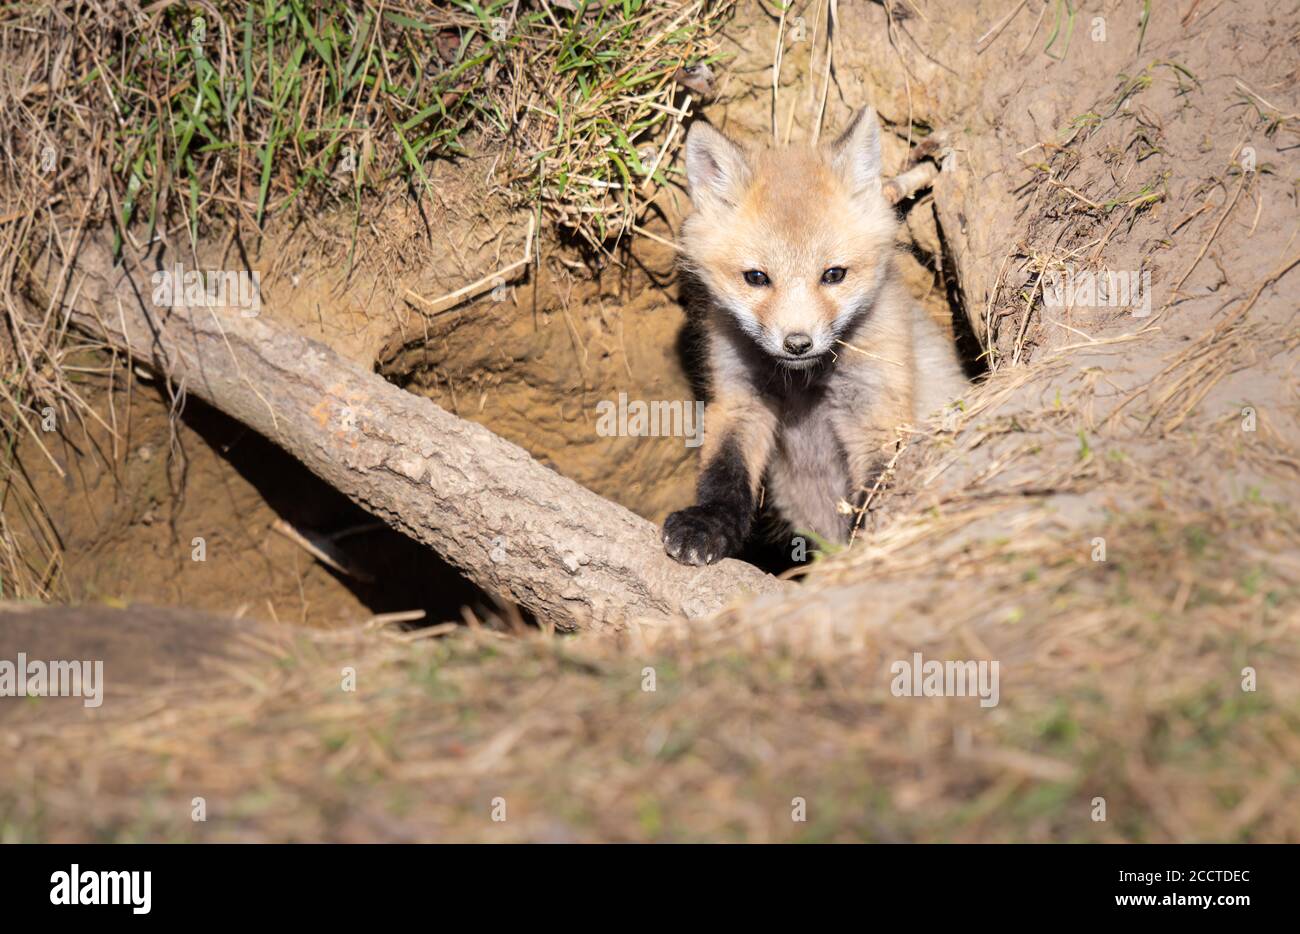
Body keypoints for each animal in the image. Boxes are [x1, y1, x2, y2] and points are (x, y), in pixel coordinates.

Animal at [662, 108, 968, 566]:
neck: (803, 383)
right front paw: (706, 524)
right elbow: (724, 472)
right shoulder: (740, 398)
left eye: (833, 274)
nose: (797, 343)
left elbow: (876, 490)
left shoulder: (876, 408)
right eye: (757, 278)